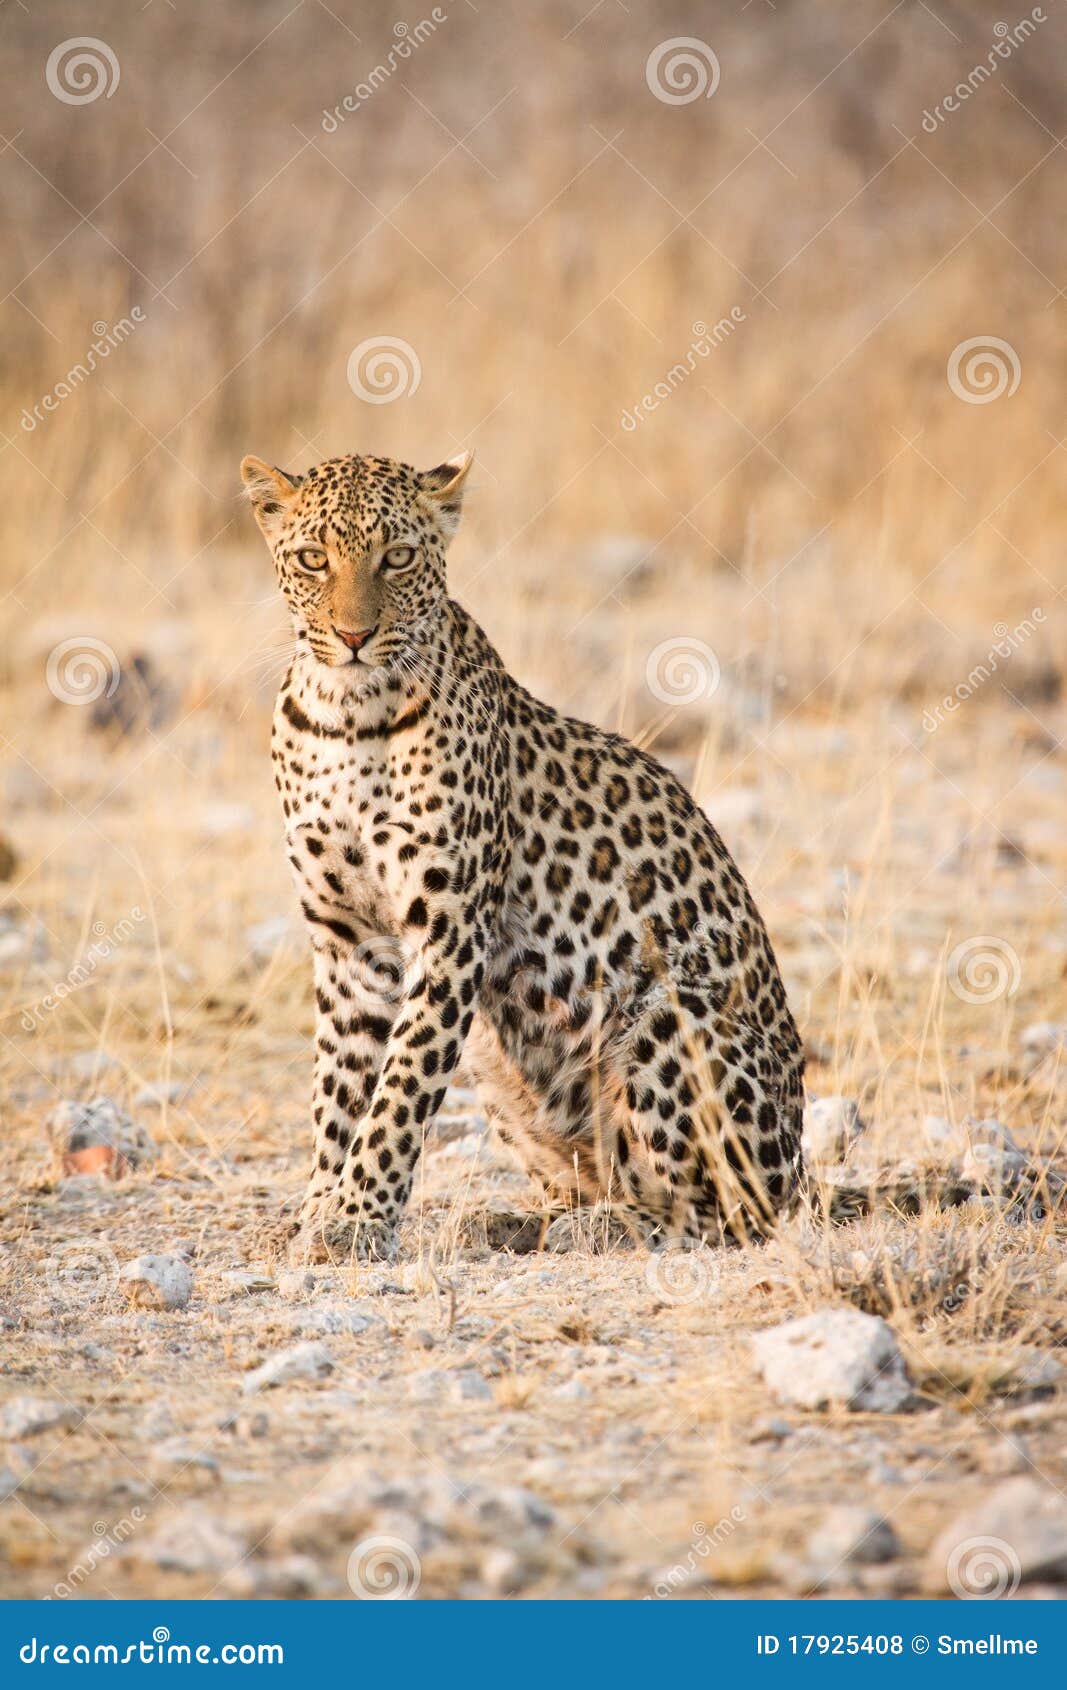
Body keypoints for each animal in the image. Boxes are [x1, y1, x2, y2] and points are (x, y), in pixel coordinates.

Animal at [241, 447, 805, 1261]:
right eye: (313, 559)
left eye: (398, 557)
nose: (352, 636)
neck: (346, 717)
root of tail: (800, 1168)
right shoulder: (348, 940)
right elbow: (337, 1092)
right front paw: (318, 1208)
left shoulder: (448, 935)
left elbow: (400, 1091)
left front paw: (355, 1219)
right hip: (497, 1065)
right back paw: (509, 1222)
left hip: (667, 1018)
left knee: (717, 1214)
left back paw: (599, 1229)